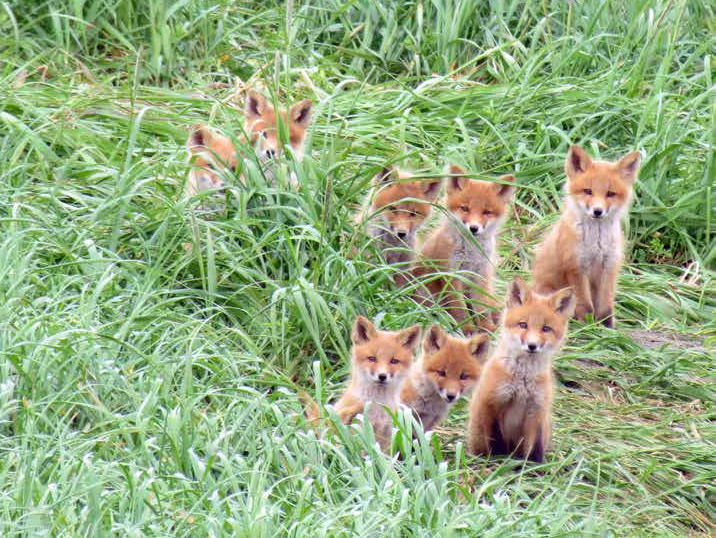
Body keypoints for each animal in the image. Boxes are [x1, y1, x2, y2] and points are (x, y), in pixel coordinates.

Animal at [331, 316, 421, 451]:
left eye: (394, 361)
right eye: (372, 359)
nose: (382, 376)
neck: (378, 406)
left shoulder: (387, 435)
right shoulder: (359, 430)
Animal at [414, 165, 516, 330]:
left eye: (487, 212)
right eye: (465, 208)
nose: (473, 228)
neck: (471, 252)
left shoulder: (481, 275)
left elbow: (481, 309)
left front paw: (487, 328)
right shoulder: (452, 274)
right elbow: (460, 309)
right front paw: (467, 329)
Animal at [466, 277, 575, 463]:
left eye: (546, 329)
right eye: (523, 325)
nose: (532, 346)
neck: (523, 379)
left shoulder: (535, 411)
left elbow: (530, 448)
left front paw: (530, 465)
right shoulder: (493, 403)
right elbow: (495, 440)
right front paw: (498, 460)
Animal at [533, 145, 642, 327]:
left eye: (610, 194)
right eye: (588, 191)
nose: (597, 211)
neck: (597, 243)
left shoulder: (610, 265)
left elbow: (606, 305)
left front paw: (606, 326)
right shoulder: (576, 266)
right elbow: (585, 304)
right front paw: (587, 324)